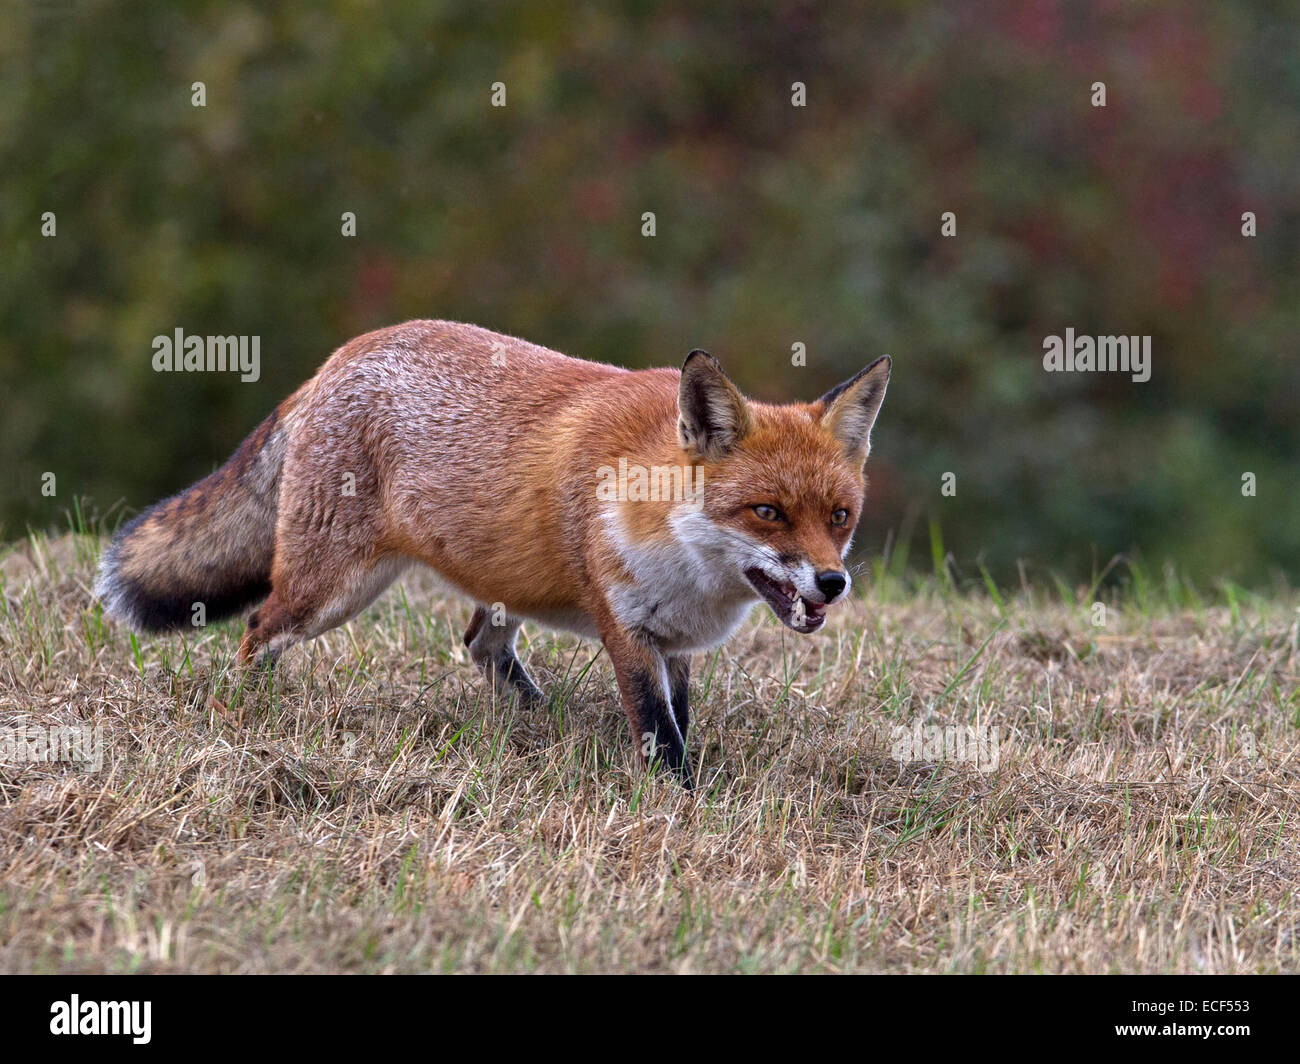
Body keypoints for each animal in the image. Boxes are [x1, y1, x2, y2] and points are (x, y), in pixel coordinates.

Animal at [96, 320, 891, 788]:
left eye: (840, 517)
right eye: (768, 513)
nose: (832, 581)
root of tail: (342, 355)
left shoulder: (672, 642)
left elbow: (678, 720)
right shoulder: (626, 627)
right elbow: (658, 733)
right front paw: (680, 803)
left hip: (501, 587)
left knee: (480, 645)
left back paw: (543, 722)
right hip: (329, 590)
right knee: (258, 629)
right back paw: (248, 709)